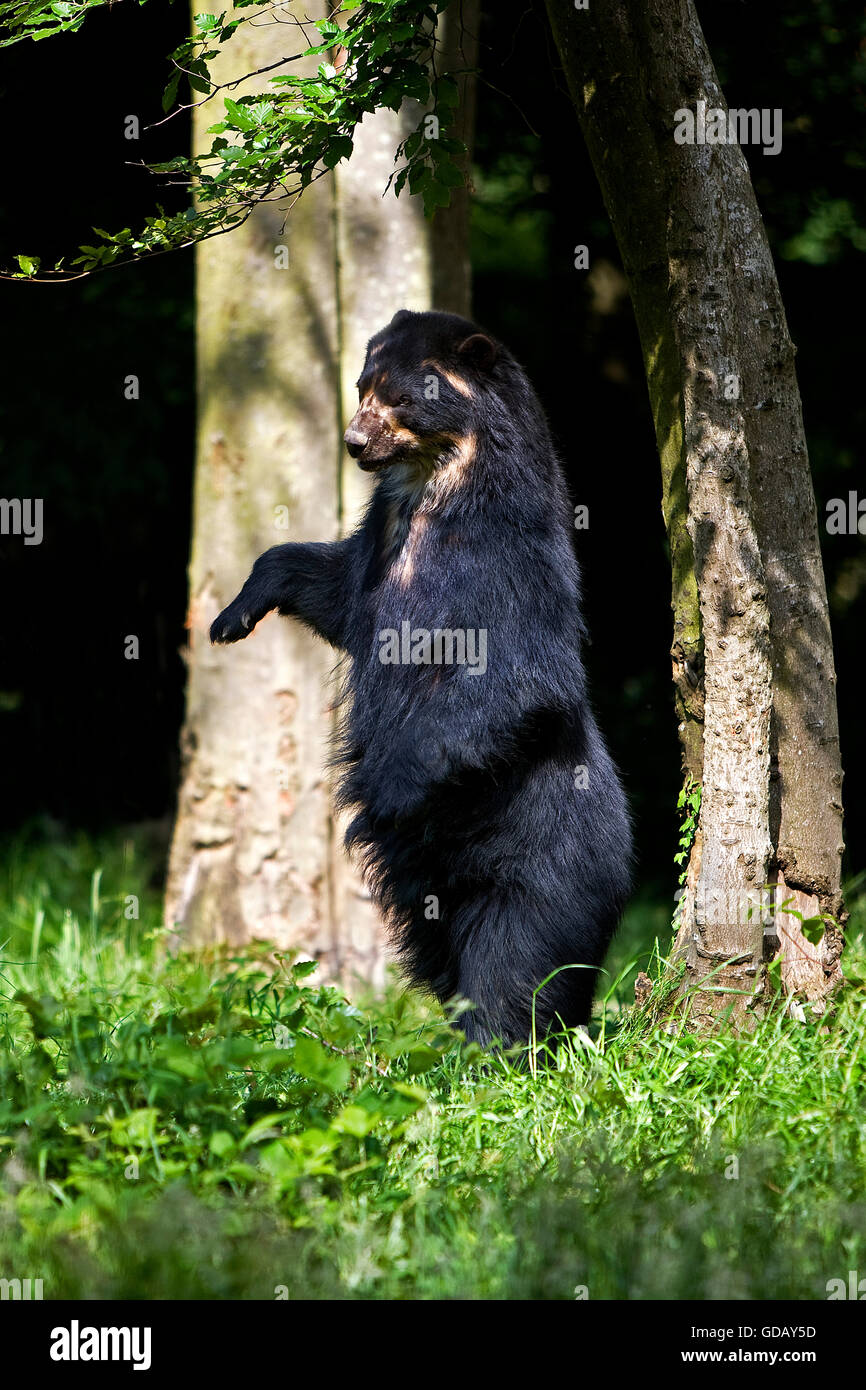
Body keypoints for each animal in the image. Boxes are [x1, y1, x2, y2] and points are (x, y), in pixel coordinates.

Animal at [211, 309, 632, 1049]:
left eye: (402, 398)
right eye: (361, 386)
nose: (353, 442)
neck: (433, 490)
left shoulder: (501, 565)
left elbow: (514, 681)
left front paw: (382, 788)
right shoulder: (380, 549)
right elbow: (333, 589)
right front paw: (232, 615)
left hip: (541, 864)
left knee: (516, 965)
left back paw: (496, 1049)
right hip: (431, 902)